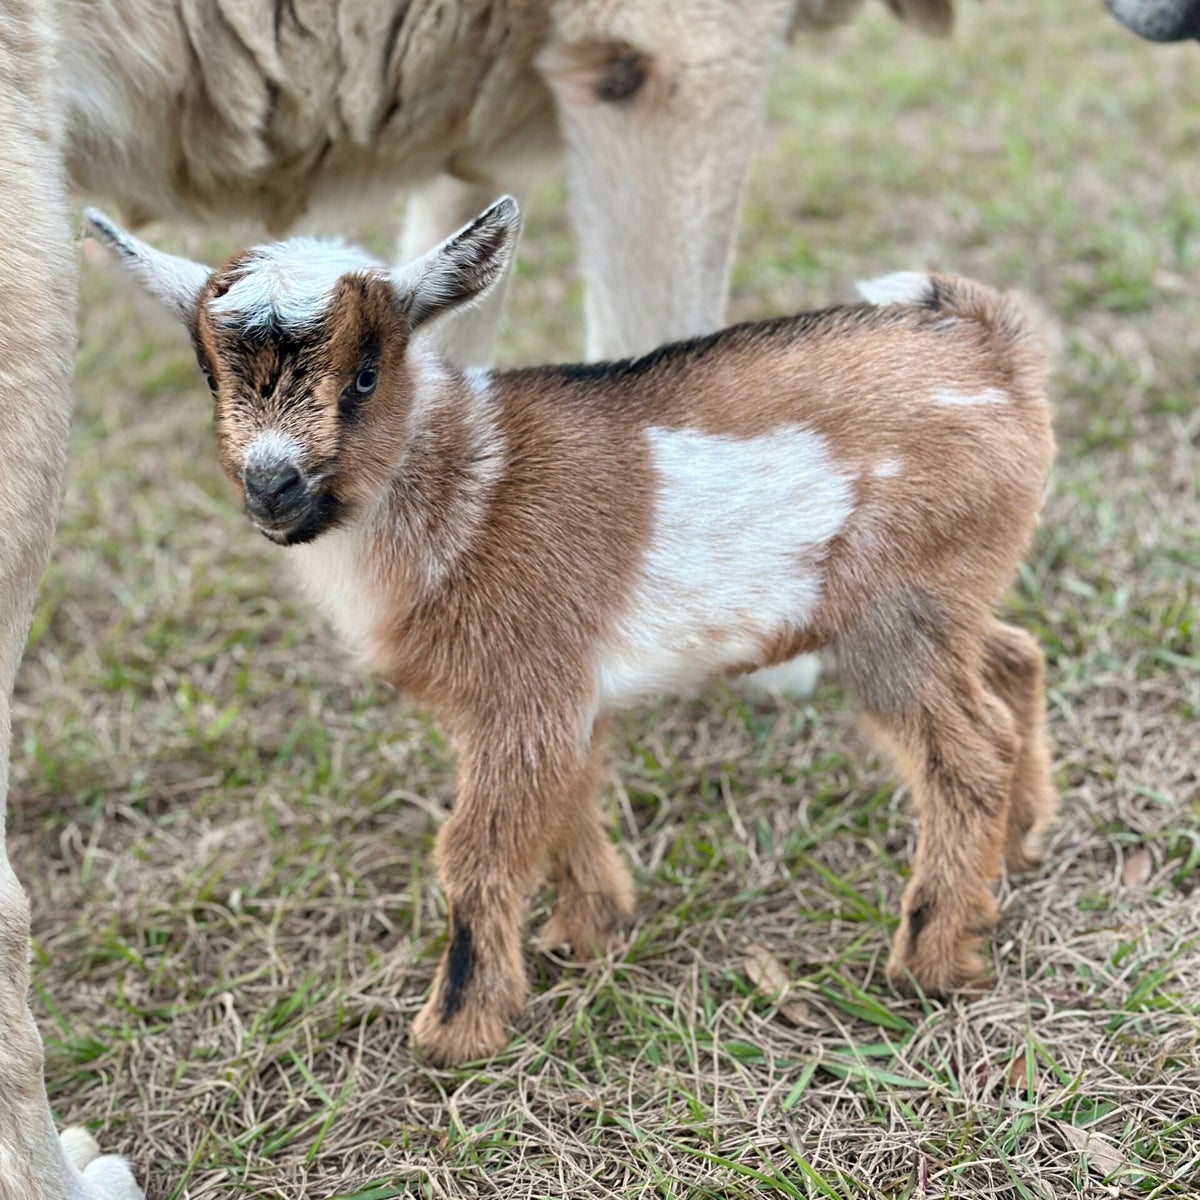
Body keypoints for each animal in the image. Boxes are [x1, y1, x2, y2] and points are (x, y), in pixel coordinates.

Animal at [88, 196, 1057, 1067]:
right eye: (210, 376)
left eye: (366, 374)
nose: (272, 488)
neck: (465, 490)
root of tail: (994, 345)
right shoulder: (555, 699)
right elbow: (565, 803)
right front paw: (589, 932)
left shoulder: (526, 689)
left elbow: (477, 848)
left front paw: (458, 1030)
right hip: (950, 598)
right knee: (1014, 662)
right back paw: (1011, 854)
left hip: (896, 616)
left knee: (969, 749)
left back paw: (930, 958)